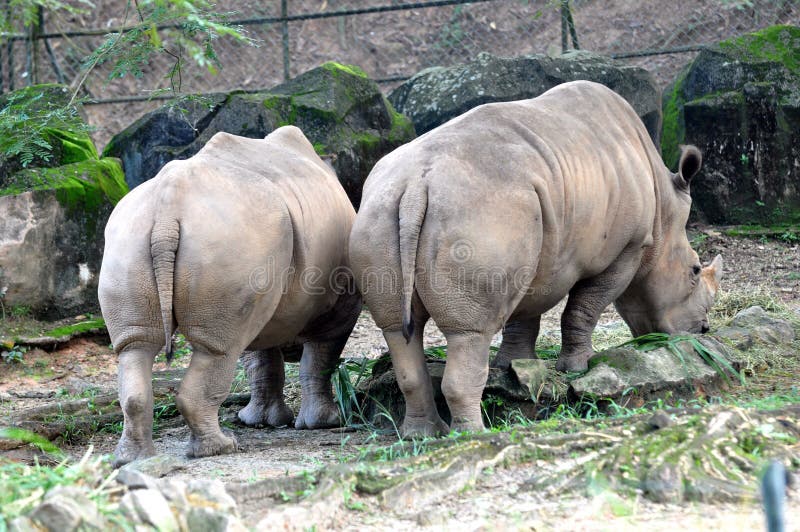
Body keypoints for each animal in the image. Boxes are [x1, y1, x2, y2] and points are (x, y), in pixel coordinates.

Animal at [99, 126, 360, 465]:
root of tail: (168, 210)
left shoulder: (262, 297)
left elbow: (260, 361)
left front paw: (262, 421)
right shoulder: (338, 308)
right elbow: (319, 359)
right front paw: (325, 423)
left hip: (131, 238)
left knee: (137, 346)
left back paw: (132, 458)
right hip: (232, 237)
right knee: (219, 350)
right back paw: (220, 448)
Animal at [349, 81, 723, 438]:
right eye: (694, 271)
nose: (703, 330)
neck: (663, 214)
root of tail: (416, 186)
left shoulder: (537, 247)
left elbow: (525, 313)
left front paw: (514, 366)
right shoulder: (626, 249)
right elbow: (585, 307)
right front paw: (580, 366)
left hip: (382, 215)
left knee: (397, 329)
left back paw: (422, 434)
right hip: (477, 213)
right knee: (469, 333)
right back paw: (471, 434)